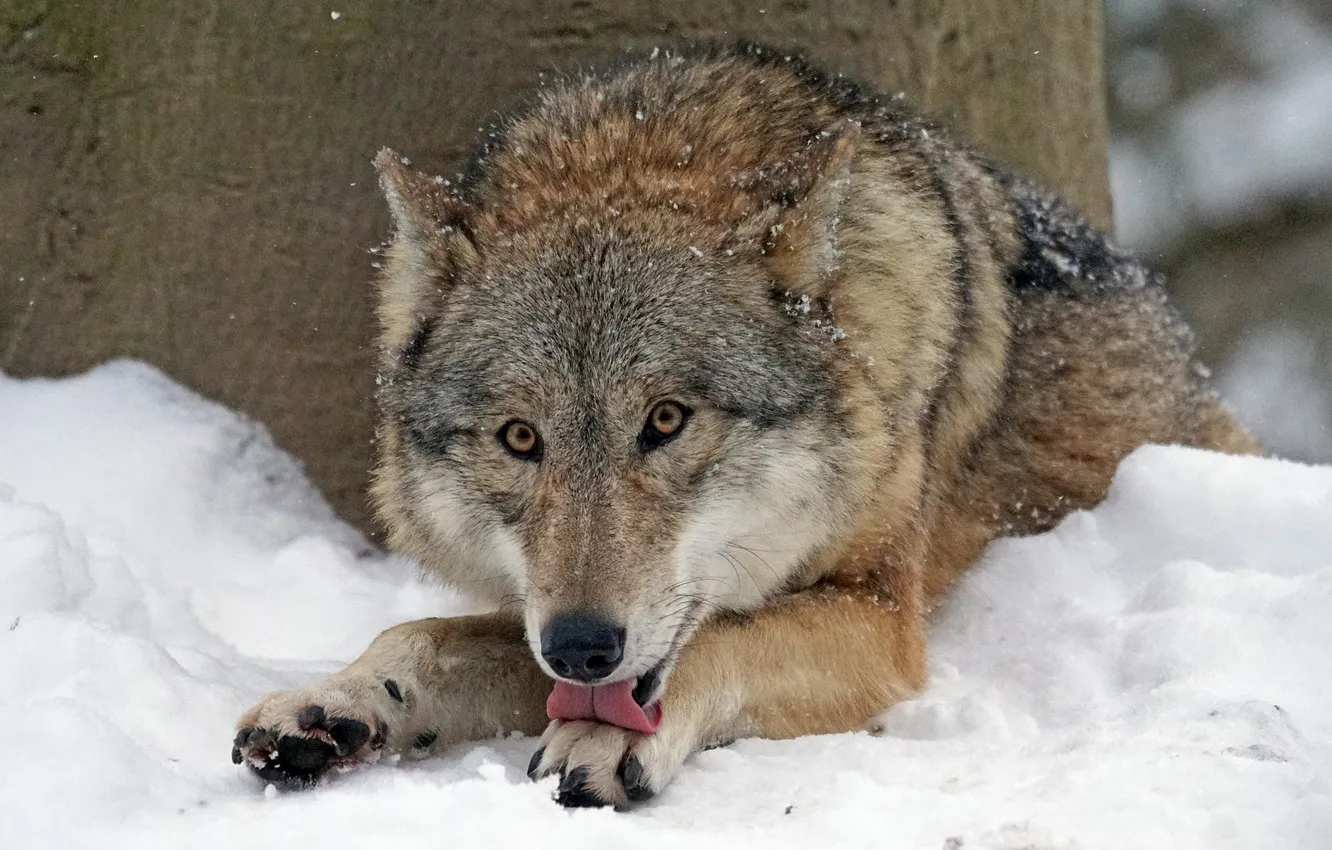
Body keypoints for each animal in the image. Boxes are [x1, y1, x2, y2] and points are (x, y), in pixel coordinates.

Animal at [231, 43, 1257, 808]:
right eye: (520, 439)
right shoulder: (538, 617)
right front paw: (332, 703)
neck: (639, 152)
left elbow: (721, 640)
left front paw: (597, 735)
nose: (582, 648)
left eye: (667, 420)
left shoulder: (883, 618)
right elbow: (420, 635)